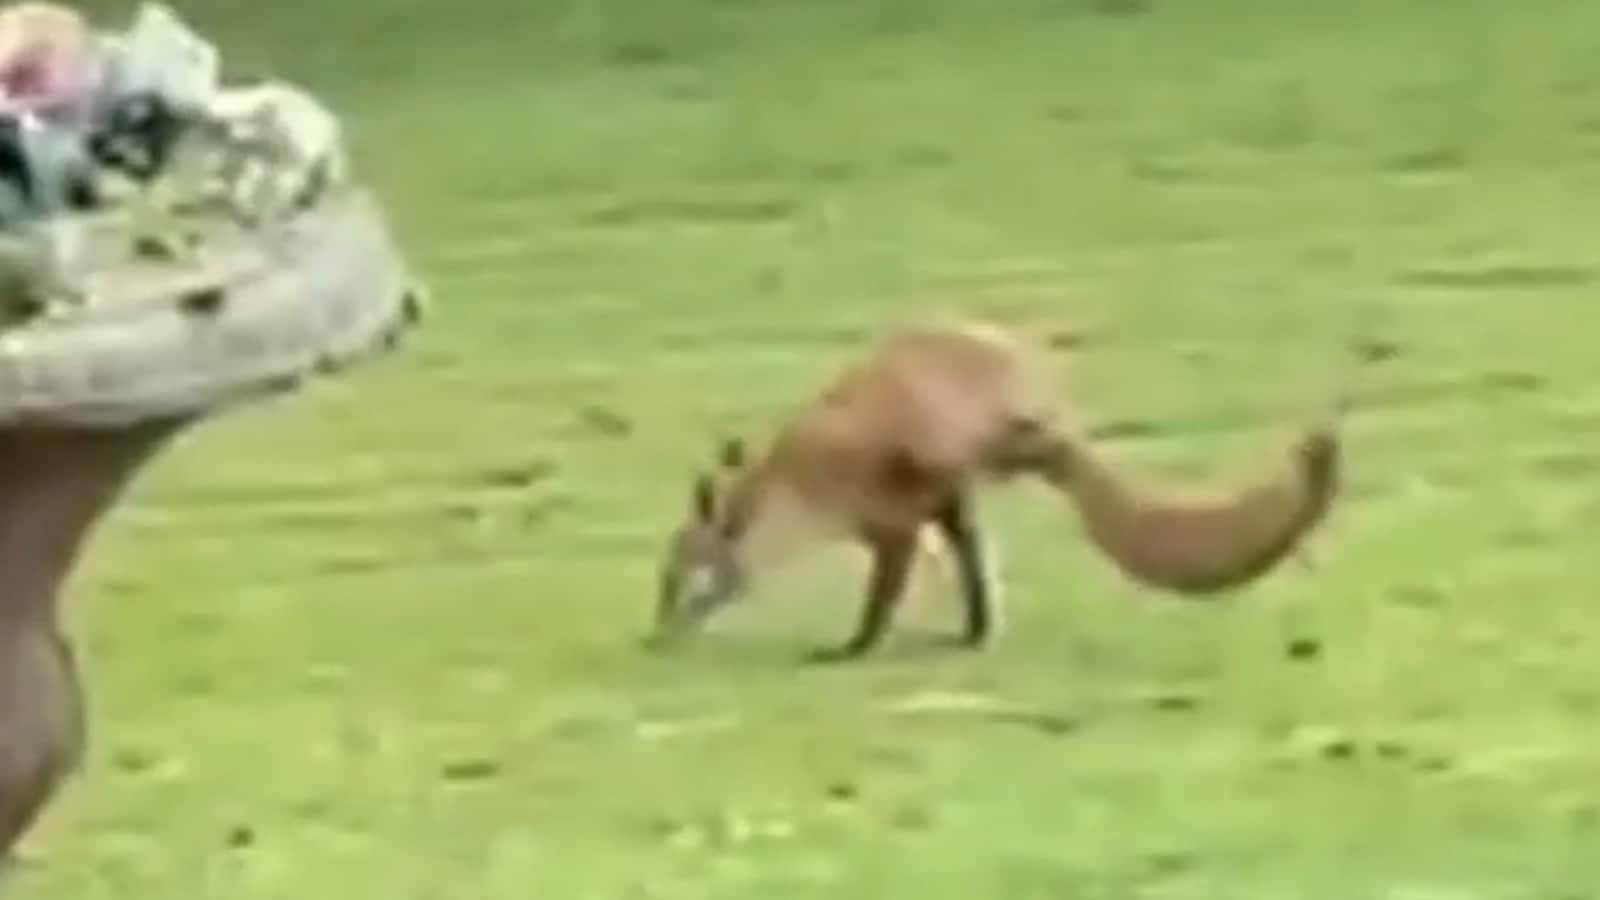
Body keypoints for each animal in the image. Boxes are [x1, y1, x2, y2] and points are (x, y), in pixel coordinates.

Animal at [654, 320, 1342, 660]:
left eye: (678, 571)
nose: (657, 632)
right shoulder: (914, 511)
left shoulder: (892, 523)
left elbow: (883, 596)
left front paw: (852, 648)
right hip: (962, 474)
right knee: (973, 542)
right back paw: (974, 629)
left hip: (958, 450)